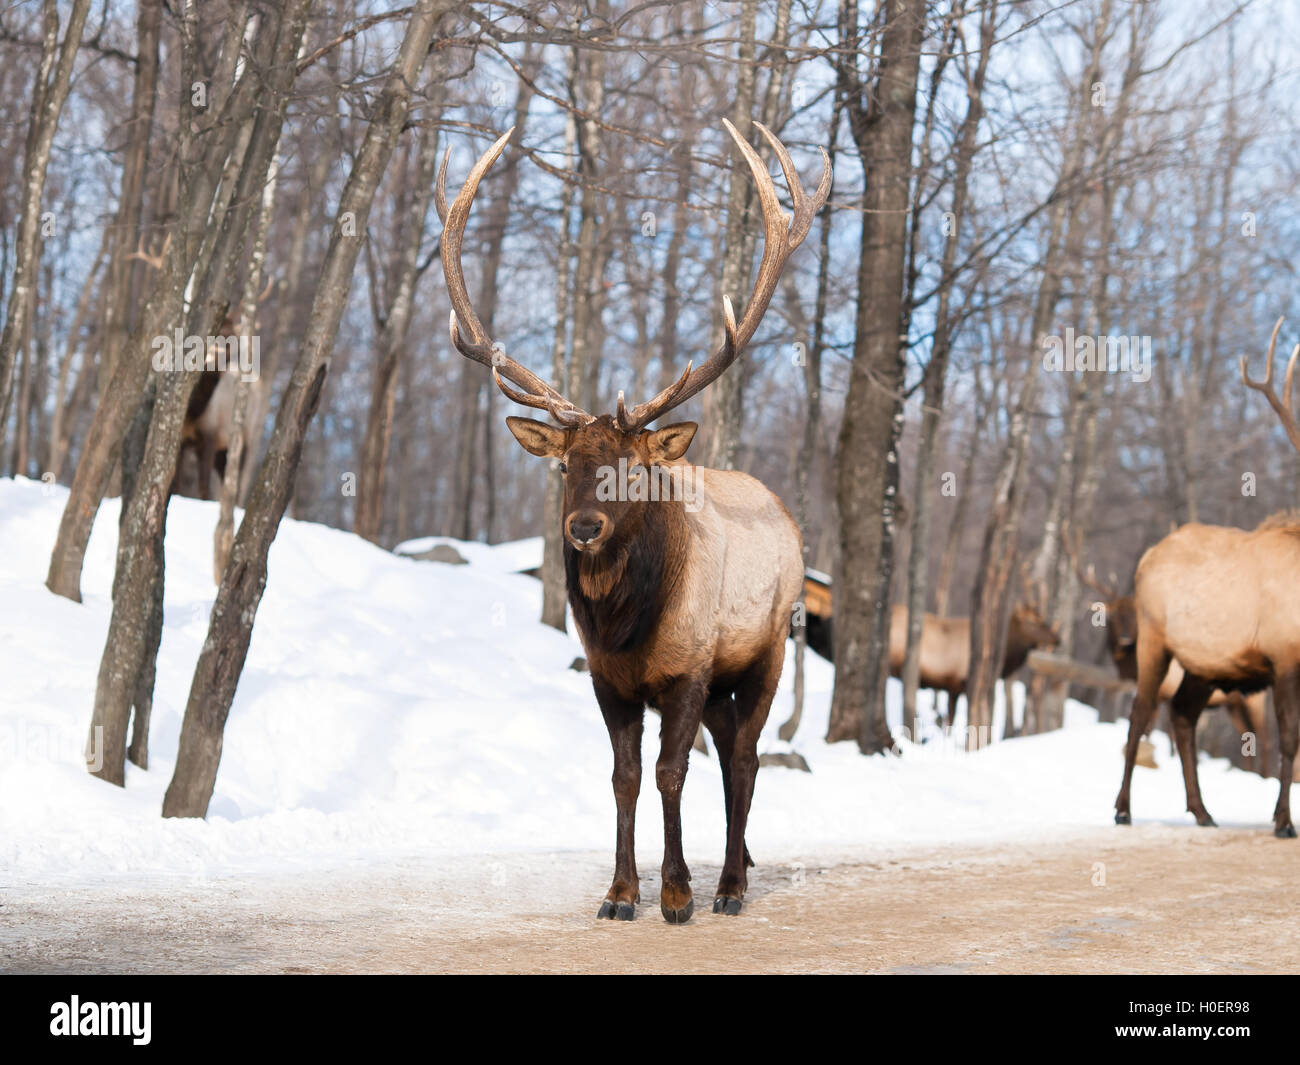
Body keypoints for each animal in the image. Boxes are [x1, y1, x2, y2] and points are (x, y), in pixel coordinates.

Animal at [436, 121, 830, 922]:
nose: (584, 527)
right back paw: (740, 860)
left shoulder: (689, 667)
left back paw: (731, 885)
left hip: (766, 649)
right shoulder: (608, 679)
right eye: (564, 466)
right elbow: (622, 777)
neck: (628, 624)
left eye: (631, 467)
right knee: (731, 754)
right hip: (723, 682)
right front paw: (620, 892)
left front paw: (677, 893)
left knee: (746, 755)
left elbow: (669, 773)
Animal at [1115, 319, 1300, 837]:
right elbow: (1290, 737)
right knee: (1140, 712)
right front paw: (1283, 821)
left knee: (1181, 714)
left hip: (1205, 664)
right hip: (1154, 639)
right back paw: (1123, 809)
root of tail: (1148, 556)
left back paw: (1201, 810)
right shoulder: (1285, 654)